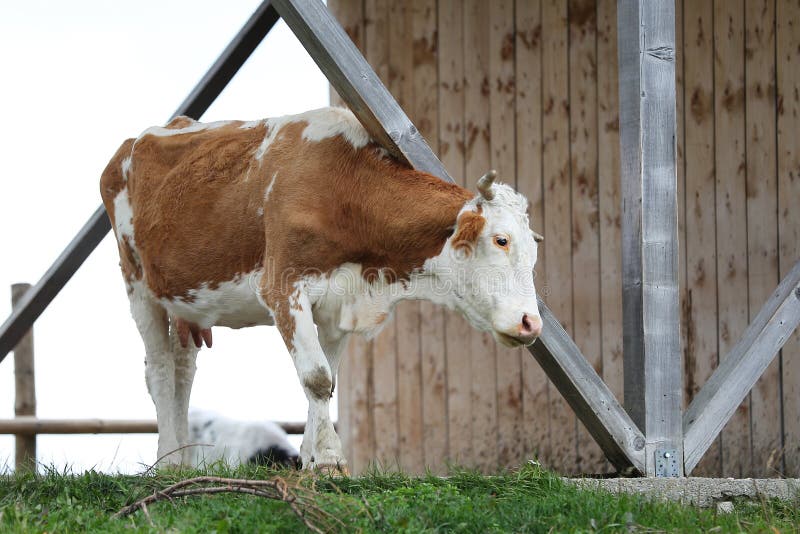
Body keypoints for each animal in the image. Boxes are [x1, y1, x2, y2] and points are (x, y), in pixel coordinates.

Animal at [100, 106, 543, 472]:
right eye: (501, 240)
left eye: (533, 252)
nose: (531, 323)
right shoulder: (283, 288)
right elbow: (316, 377)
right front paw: (329, 461)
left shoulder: (339, 305)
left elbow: (328, 380)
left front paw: (312, 459)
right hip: (138, 283)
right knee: (159, 370)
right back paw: (167, 463)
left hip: (186, 302)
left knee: (183, 370)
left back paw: (181, 456)